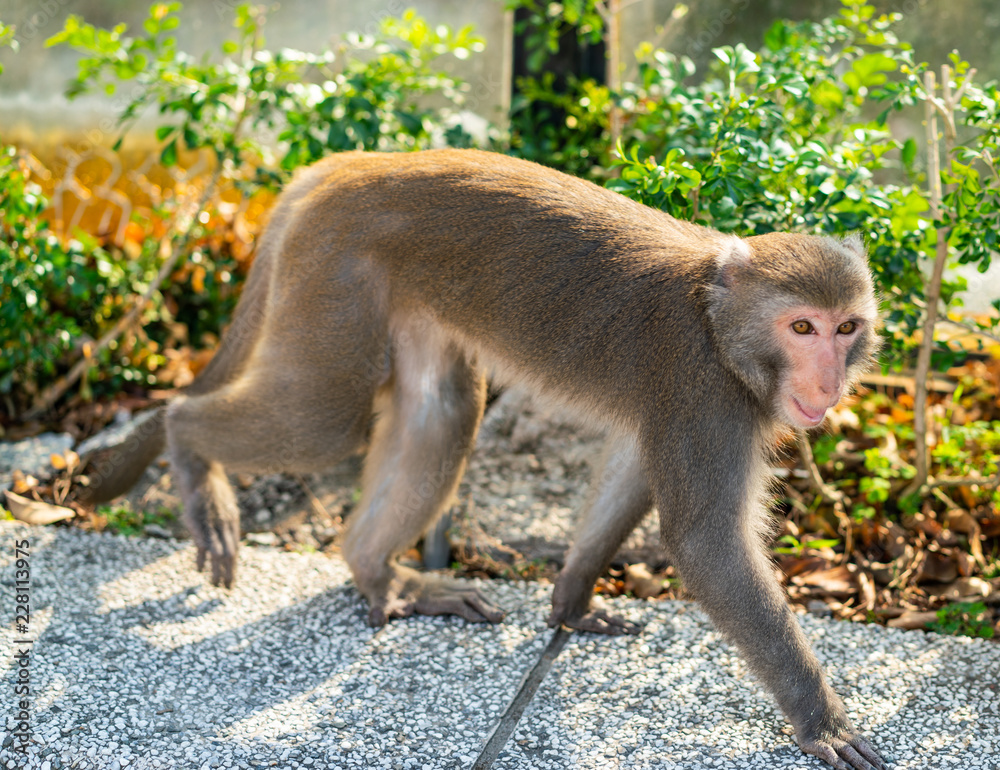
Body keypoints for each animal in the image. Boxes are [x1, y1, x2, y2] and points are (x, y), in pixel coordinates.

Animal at [79, 149, 886, 770]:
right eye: (803, 327)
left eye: (847, 327)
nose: (828, 382)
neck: (717, 320)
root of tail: (349, 165)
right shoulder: (704, 389)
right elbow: (706, 543)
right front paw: (823, 722)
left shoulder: (675, 401)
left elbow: (631, 465)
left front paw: (572, 599)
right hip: (334, 275)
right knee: (322, 417)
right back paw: (187, 447)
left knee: (442, 409)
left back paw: (379, 573)